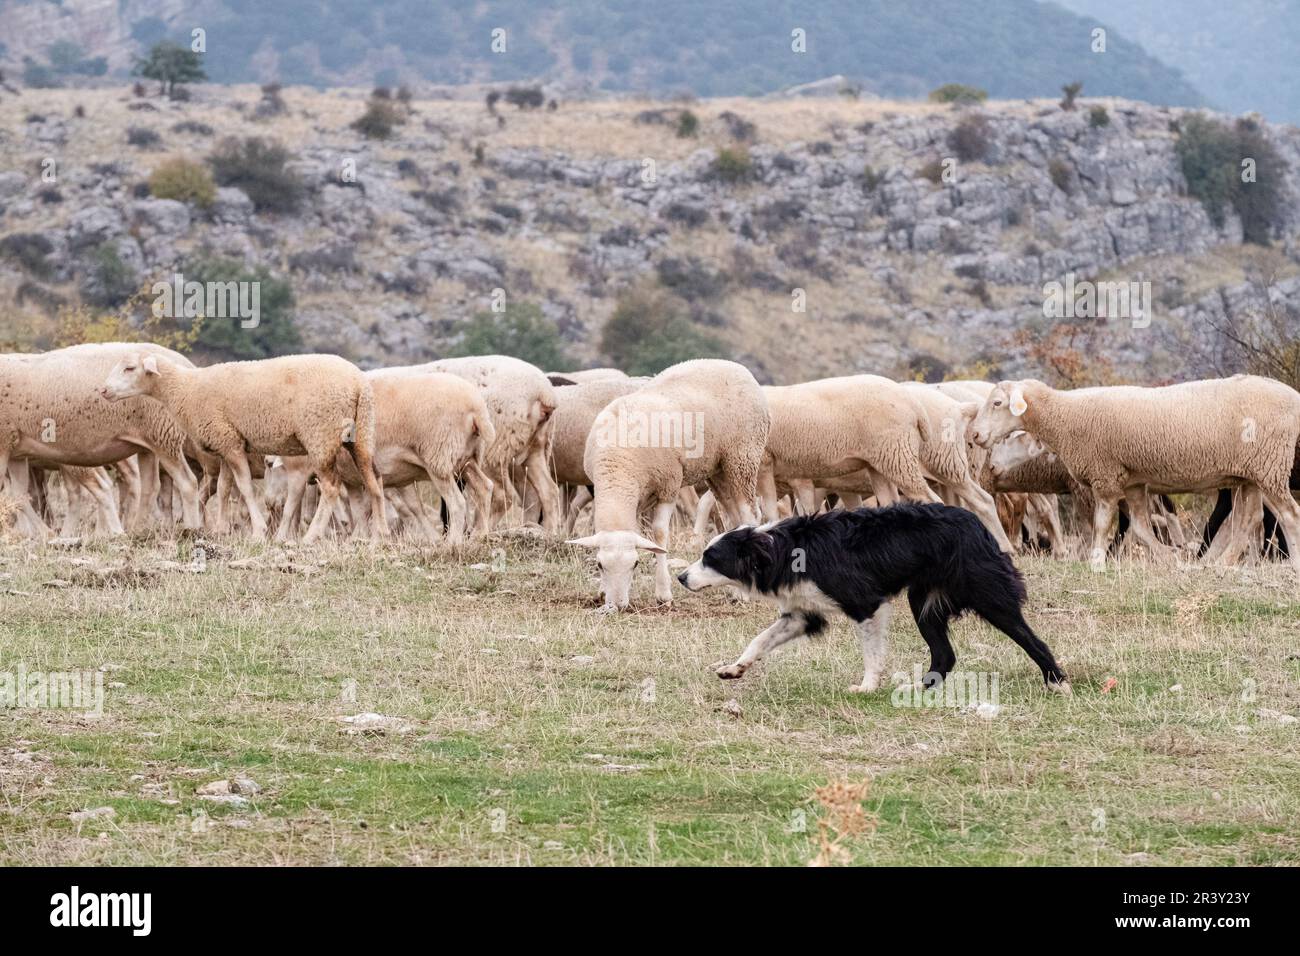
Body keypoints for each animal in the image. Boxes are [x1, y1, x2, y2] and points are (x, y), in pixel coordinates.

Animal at [1, 344, 203, 530]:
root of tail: (189, 366)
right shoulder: (15, 451)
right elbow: (19, 497)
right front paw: (43, 533)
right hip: (149, 443)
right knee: (150, 487)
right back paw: (137, 531)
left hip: (164, 436)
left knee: (187, 483)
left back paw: (190, 529)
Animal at [101, 352, 388, 544]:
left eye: (129, 368)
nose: (104, 391)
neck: (185, 390)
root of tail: (359, 383)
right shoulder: (225, 443)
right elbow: (224, 488)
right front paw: (221, 530)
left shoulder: (230, 442)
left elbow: (246, 487)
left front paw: (258, 531)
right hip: (361, 435)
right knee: (374, 482)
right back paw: (380, 536)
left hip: (320, 434)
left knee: (330, 487)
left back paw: (310, 536)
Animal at [277, 370, 494, 542]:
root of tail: (476, 408)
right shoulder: (352, 476)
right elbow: (362, 509)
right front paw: (359, 539)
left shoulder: (299, 471)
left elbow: (290, 508)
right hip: (467, 459)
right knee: (484, 486)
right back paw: (480, 534)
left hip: (438, 457)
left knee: (457, 503)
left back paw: (453, 542)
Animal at [567, 359, 770, 610]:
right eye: (599, 565)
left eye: (635, 564)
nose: (619, 605)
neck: (618, 468)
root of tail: (737, 368)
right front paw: (602, 591)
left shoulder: (669, 485)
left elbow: (660, 534)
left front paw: (663, 593)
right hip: (719, 469)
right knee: (735, 517)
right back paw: (736, 590)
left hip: (743, 458)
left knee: (751, 514)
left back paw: (744, 594)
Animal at [971, 376, 1300, 576]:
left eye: (997, 403)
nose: (974, 435)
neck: (1065, 416)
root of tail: (1293, 395)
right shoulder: (1133, 482)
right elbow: (1142, 529)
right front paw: (1172, 559)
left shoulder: (1104, 476)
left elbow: (1101, 525)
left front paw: (1096, 562)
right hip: (1251, 474)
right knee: (1250, 520)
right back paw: (1222, 564)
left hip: (1270, 466)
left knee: (1289, 515)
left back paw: (1293, 564)